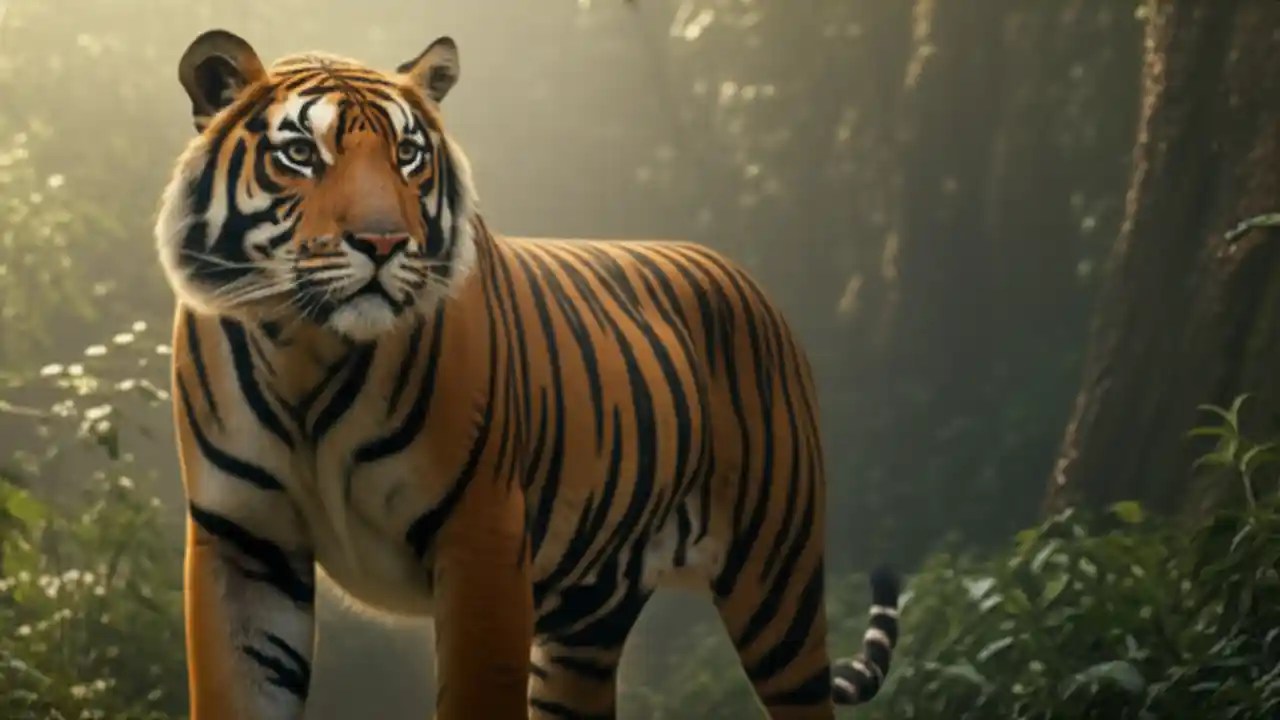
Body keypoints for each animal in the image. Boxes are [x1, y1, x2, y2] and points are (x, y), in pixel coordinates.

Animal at [154, 28, 901, 720]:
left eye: (407, 156)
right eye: (301, 154)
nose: (383, 242)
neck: (304, 348)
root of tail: (747, 278)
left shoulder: (481, 538)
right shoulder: (242, 541)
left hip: (775, 580)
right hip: (588, 622)